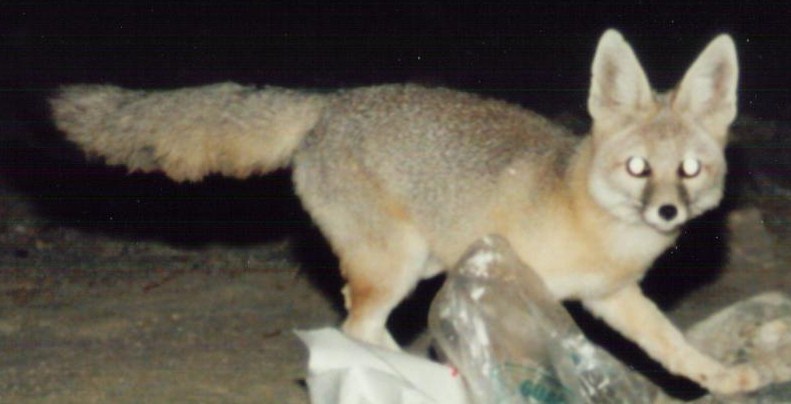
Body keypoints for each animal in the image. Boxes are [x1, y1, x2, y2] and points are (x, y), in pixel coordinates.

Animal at [49, 29, 782, 394]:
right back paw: (418, 374)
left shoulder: (613, 297)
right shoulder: (516, 279)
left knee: (360, 323)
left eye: (689, 170)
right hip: (398, 267)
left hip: (421, 263)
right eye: (637, 169)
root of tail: (330, 103)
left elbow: (673, 347)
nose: (666, 212)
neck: (584, 213)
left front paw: (723, 378)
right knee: (355, 324)